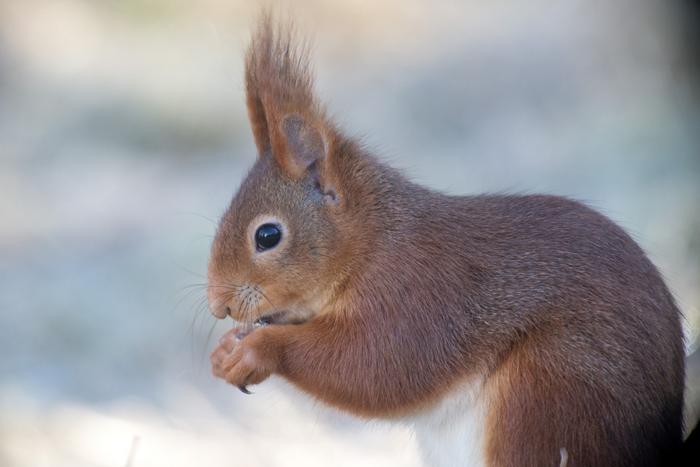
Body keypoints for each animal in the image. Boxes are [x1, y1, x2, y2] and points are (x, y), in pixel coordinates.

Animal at [207, 14, 686, 467]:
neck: (373, 245)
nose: (218, 306)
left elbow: (373, 367)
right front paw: (224, 351)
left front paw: (257, 351)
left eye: (268, 235)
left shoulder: (419, 295)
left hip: (550, 387)